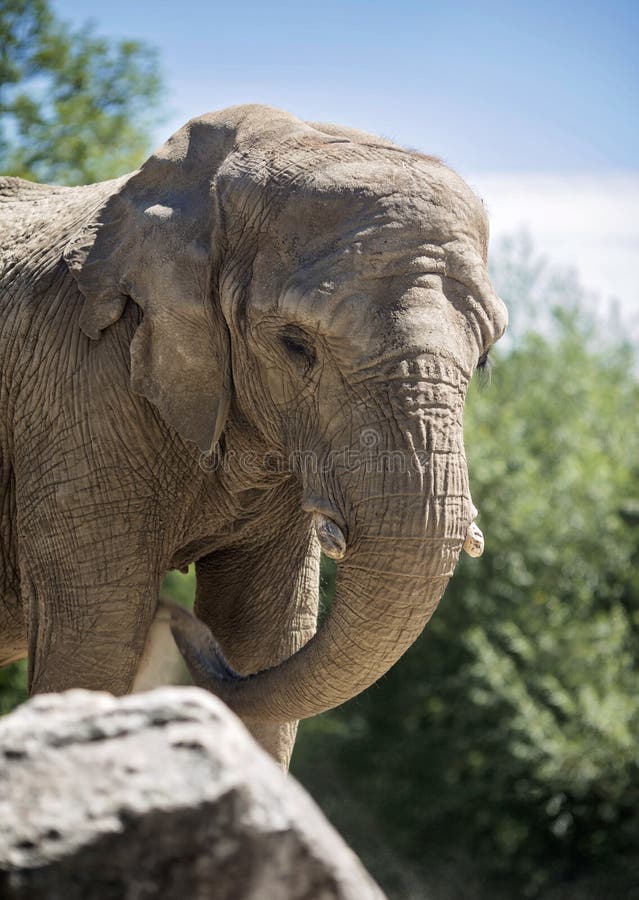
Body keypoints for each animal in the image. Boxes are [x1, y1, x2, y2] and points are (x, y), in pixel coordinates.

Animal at [0, 104, 507, 768]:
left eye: (484, 361)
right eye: (295, 345)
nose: (176, 620)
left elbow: (265, 637)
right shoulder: (75, 390)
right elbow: (95, 638)